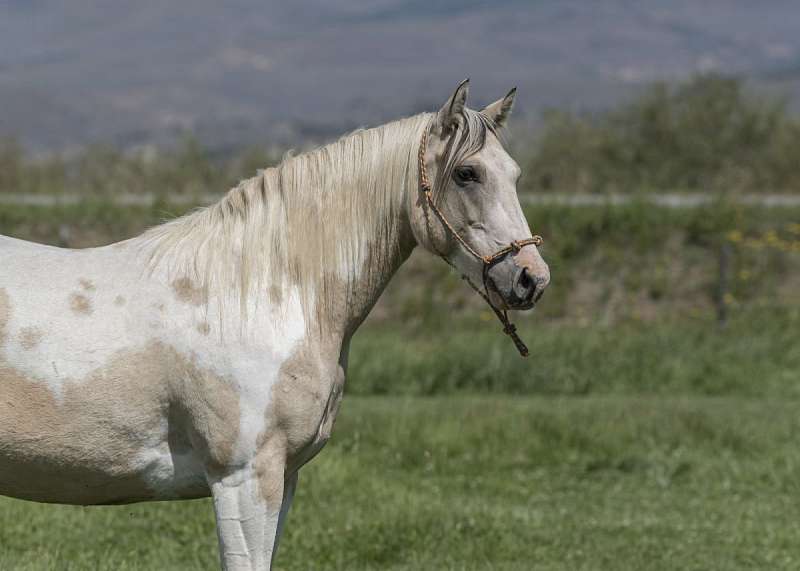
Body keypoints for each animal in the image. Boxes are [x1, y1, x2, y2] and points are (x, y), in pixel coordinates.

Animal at [0, 80, 550, 570]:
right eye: (467, 173)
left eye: (515, 174)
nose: (532, 278)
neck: (265, 293)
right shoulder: (244, 478)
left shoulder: (285, 477)